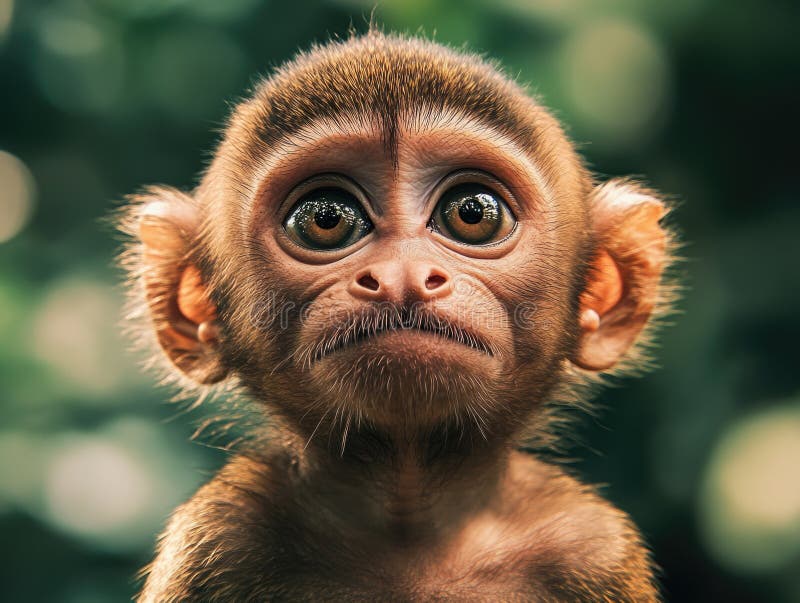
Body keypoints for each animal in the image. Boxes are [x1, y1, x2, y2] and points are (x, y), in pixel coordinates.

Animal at [119, 30, 677, 602]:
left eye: (472, 213)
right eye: (325, 218)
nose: (401, 276)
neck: (410, 518)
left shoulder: (593, 545)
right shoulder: (219, 534)